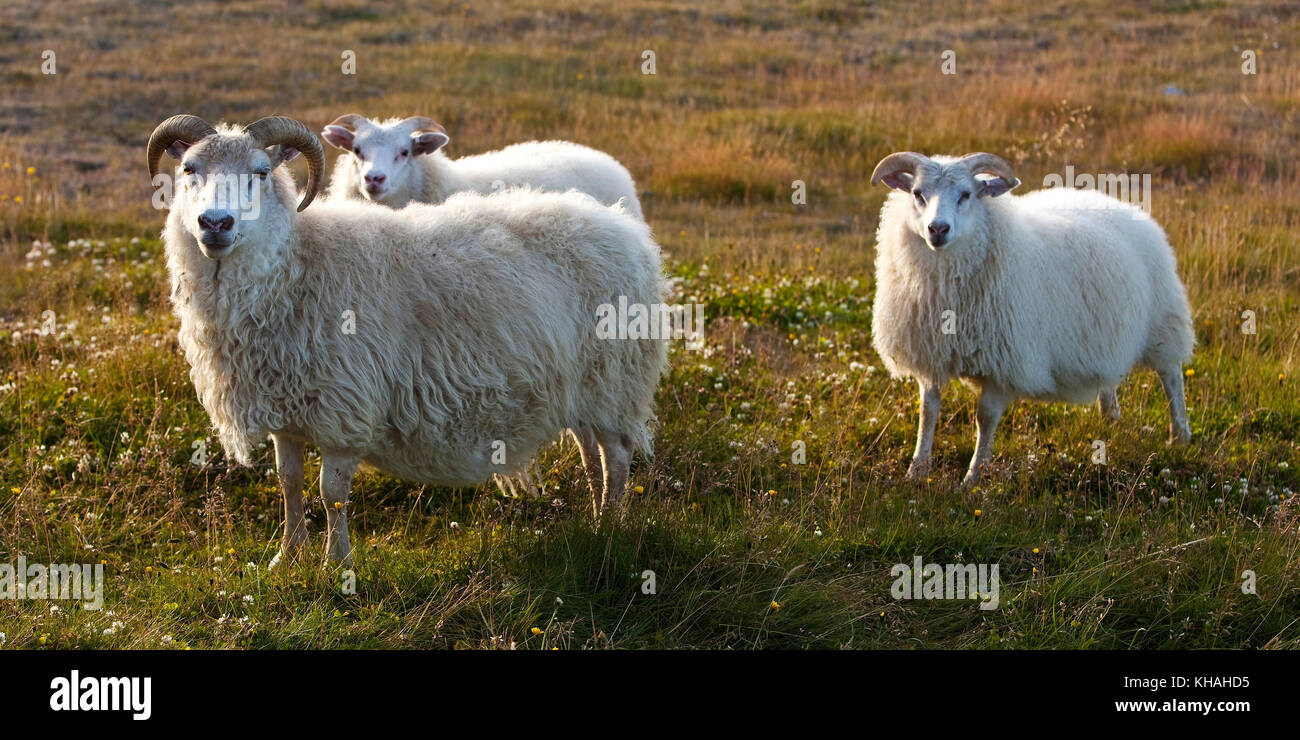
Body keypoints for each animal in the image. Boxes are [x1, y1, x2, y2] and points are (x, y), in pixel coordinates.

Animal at [868, 151, 1194, 487]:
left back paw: (1179, 435)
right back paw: (1110, 417)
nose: (938, 229)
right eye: (918, 194)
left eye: (966, 195)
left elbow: (985, 419)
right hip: (1105, 331)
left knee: (1171, 375)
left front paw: (973, 477)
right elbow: (928, 412)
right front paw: (917, 470)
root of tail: (1113, 201)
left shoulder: (1004, 364)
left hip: (1162, 321)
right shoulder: (931, 353)